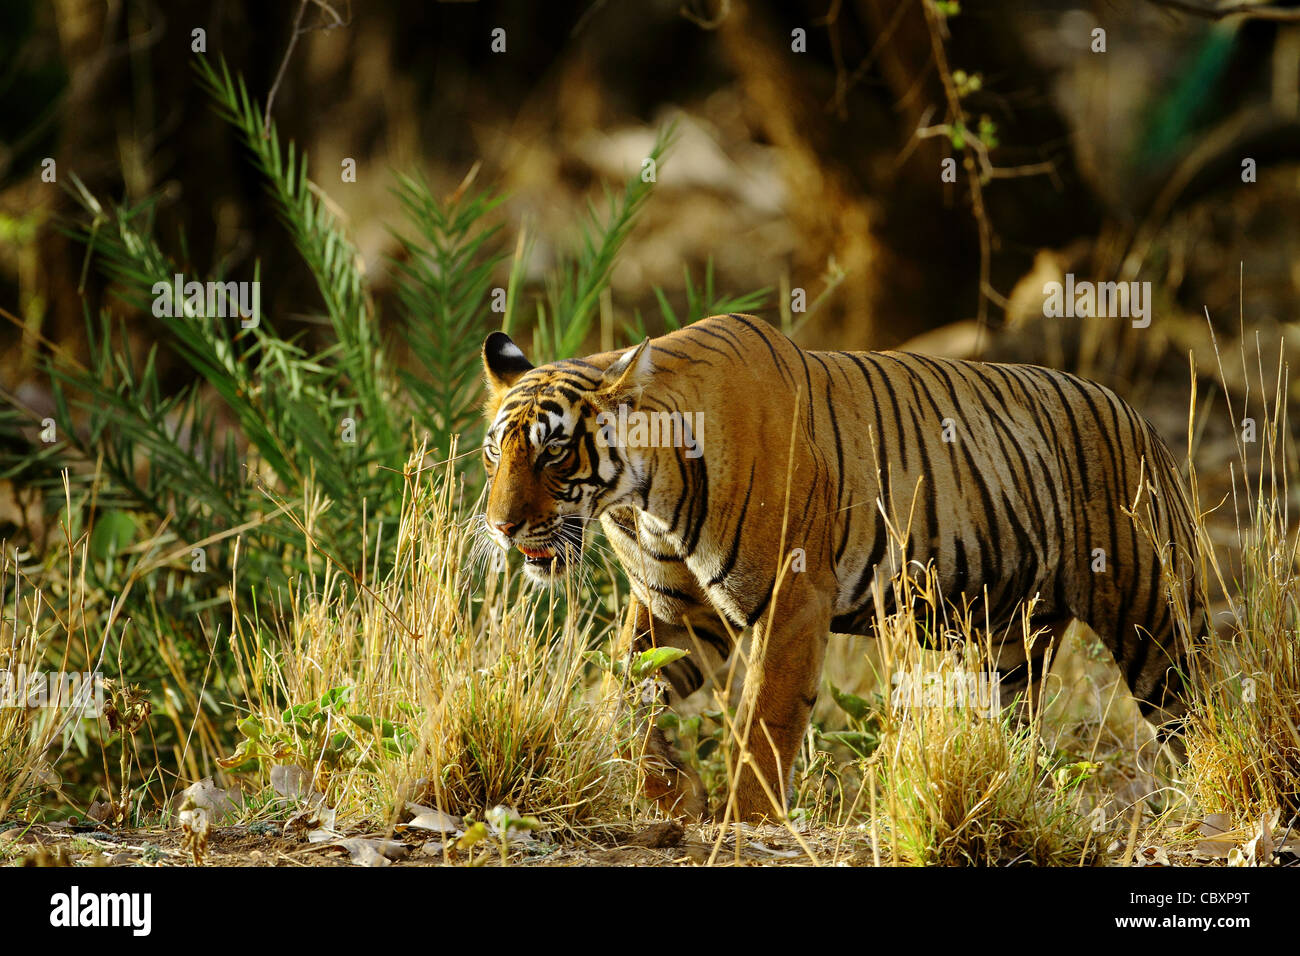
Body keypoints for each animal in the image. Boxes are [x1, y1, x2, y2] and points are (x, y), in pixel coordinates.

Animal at [479, 313, 1205, 821]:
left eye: (552, 452)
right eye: (494, 453)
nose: (500, 525)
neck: (645, 496)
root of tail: (1140, 417)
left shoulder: (793, 598)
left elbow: (766, 724)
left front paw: (745, 822)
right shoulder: (675, 612)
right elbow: (622, 703)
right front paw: (673, 798)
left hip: (1152, 617)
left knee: (1194, 711)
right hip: (1006, 642)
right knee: (1011, 726)